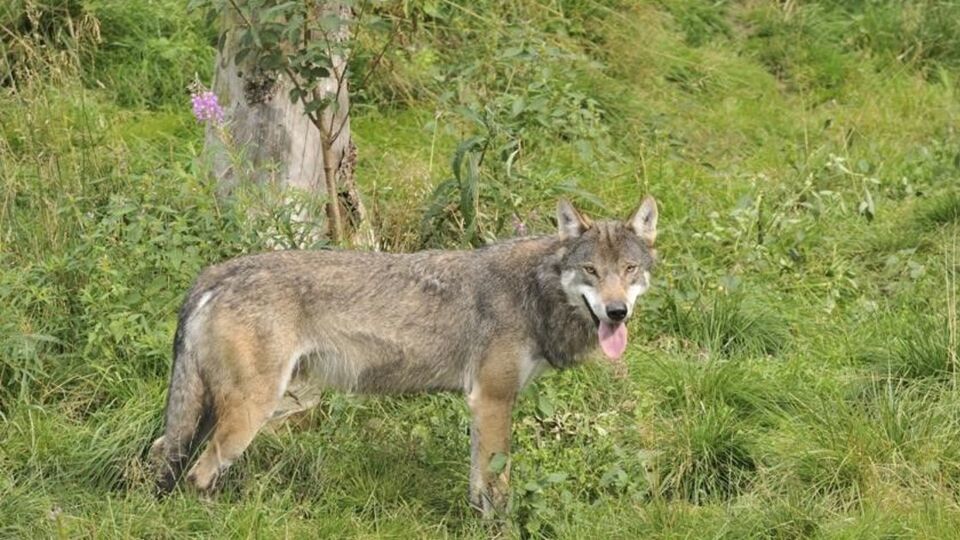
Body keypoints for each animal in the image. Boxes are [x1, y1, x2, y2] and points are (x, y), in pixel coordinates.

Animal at [149, 196, 658, 515]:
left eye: (629, 269)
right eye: (591, 270)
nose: (617, 311)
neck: (534, 289)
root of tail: (217, 272)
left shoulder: (482, 404)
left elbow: (479, 483)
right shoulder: (493, 400)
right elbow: (498, 485)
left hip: (216, 412)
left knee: (164, 453)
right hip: (250, 413)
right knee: (198, 474)